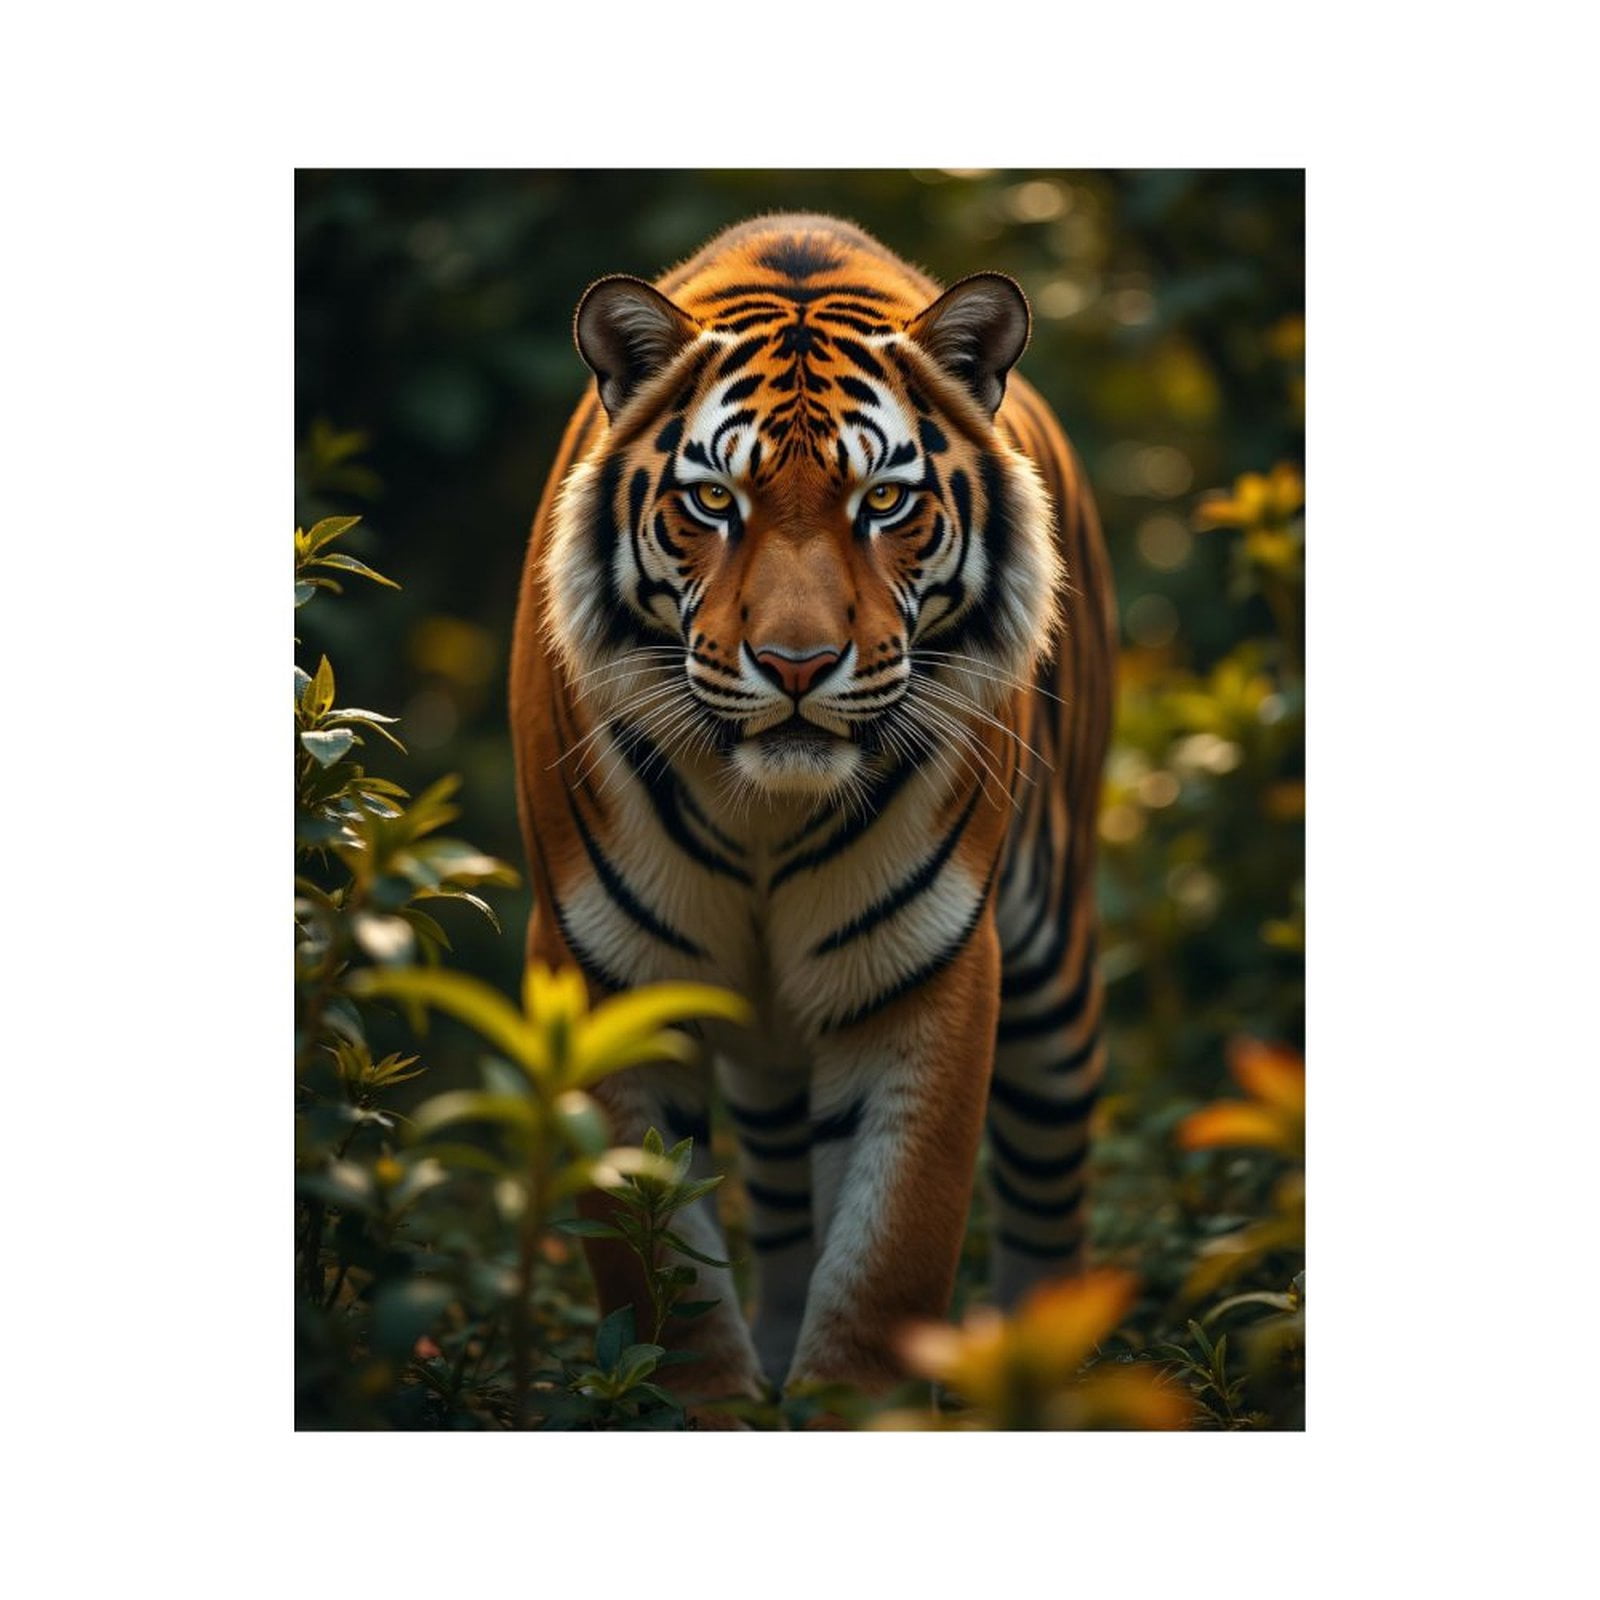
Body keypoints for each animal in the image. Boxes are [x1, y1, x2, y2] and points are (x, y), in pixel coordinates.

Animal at [509, 213, 1116, 1416]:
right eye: (713, 502)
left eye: (882, 502)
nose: (796, 665)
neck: (763, 816)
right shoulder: (600, 972)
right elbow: (662, 1281)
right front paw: (707, 1408)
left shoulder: (923, 974)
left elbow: (890, 1260)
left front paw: (851, 1406)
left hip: (1054, 983)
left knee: (1045, 1198)